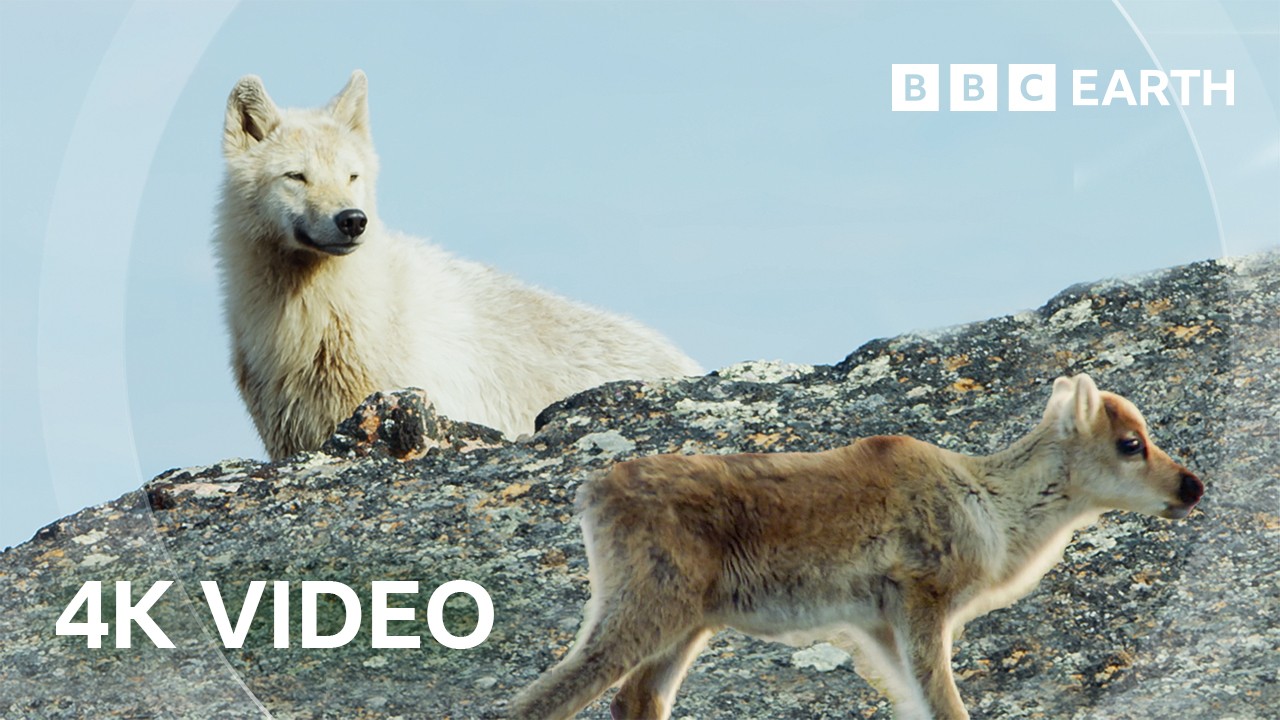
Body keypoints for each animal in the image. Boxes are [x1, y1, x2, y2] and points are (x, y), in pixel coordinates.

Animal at [510, 374, 1204, 719]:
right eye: (1131, 443)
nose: (1192, 486)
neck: (995, 511)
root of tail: (592, 490)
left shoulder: (875, 624)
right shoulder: (920, 598)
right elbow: (946, 705)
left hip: (687, 626)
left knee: (635, 698)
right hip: (645, 609)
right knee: (541, 698)